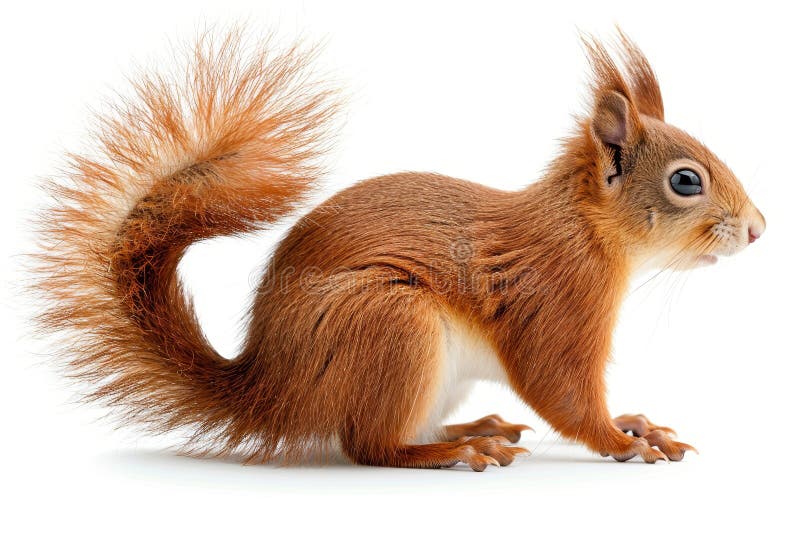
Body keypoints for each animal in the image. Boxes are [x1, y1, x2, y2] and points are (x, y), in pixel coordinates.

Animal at [33, 29, 765, 471]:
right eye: (686, 181)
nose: (759, 228)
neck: (585, 230)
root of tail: (272, 391)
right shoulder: (555, 301)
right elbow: (561, 391)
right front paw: (620, 440)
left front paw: (640, 423)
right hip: (393, 326)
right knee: (369, 445)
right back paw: (452, 455)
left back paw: (474, 431)